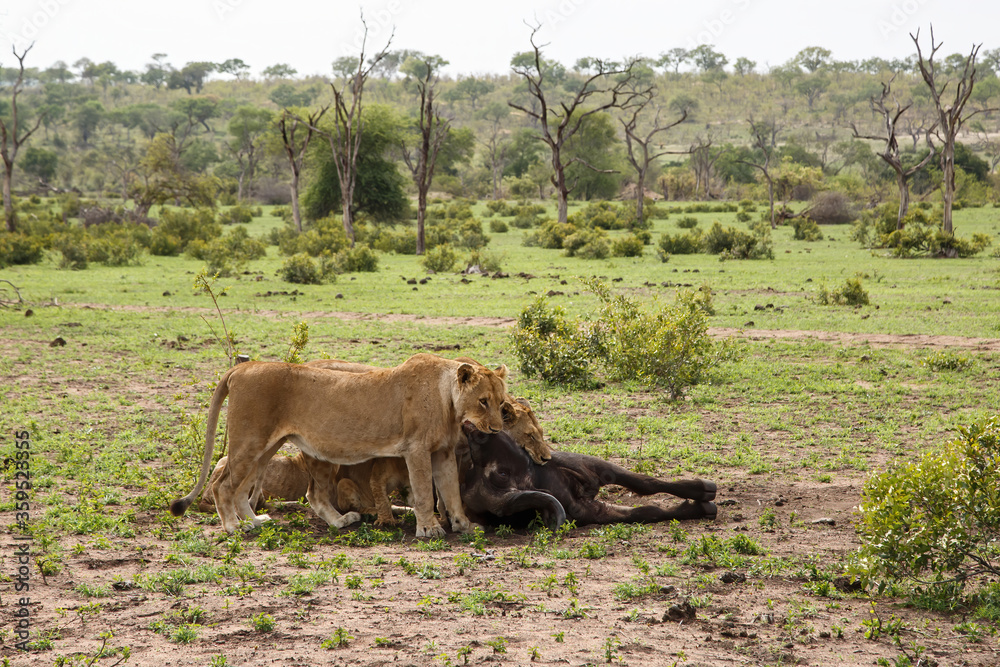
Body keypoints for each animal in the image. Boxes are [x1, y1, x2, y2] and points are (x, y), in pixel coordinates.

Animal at [169, 353, 509, 537]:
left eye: (501, 403)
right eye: (483, 401)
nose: (496, 429)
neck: (448, 401)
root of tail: (241, 368)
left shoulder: (443, 452)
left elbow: (452, 493)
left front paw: (464, 525)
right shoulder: (416, 450)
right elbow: (425, 493)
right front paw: (429, 529)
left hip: (266, 447)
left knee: (250, 490)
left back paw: (263, 521)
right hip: (249, 441)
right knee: (223, 486)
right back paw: (233, 527)